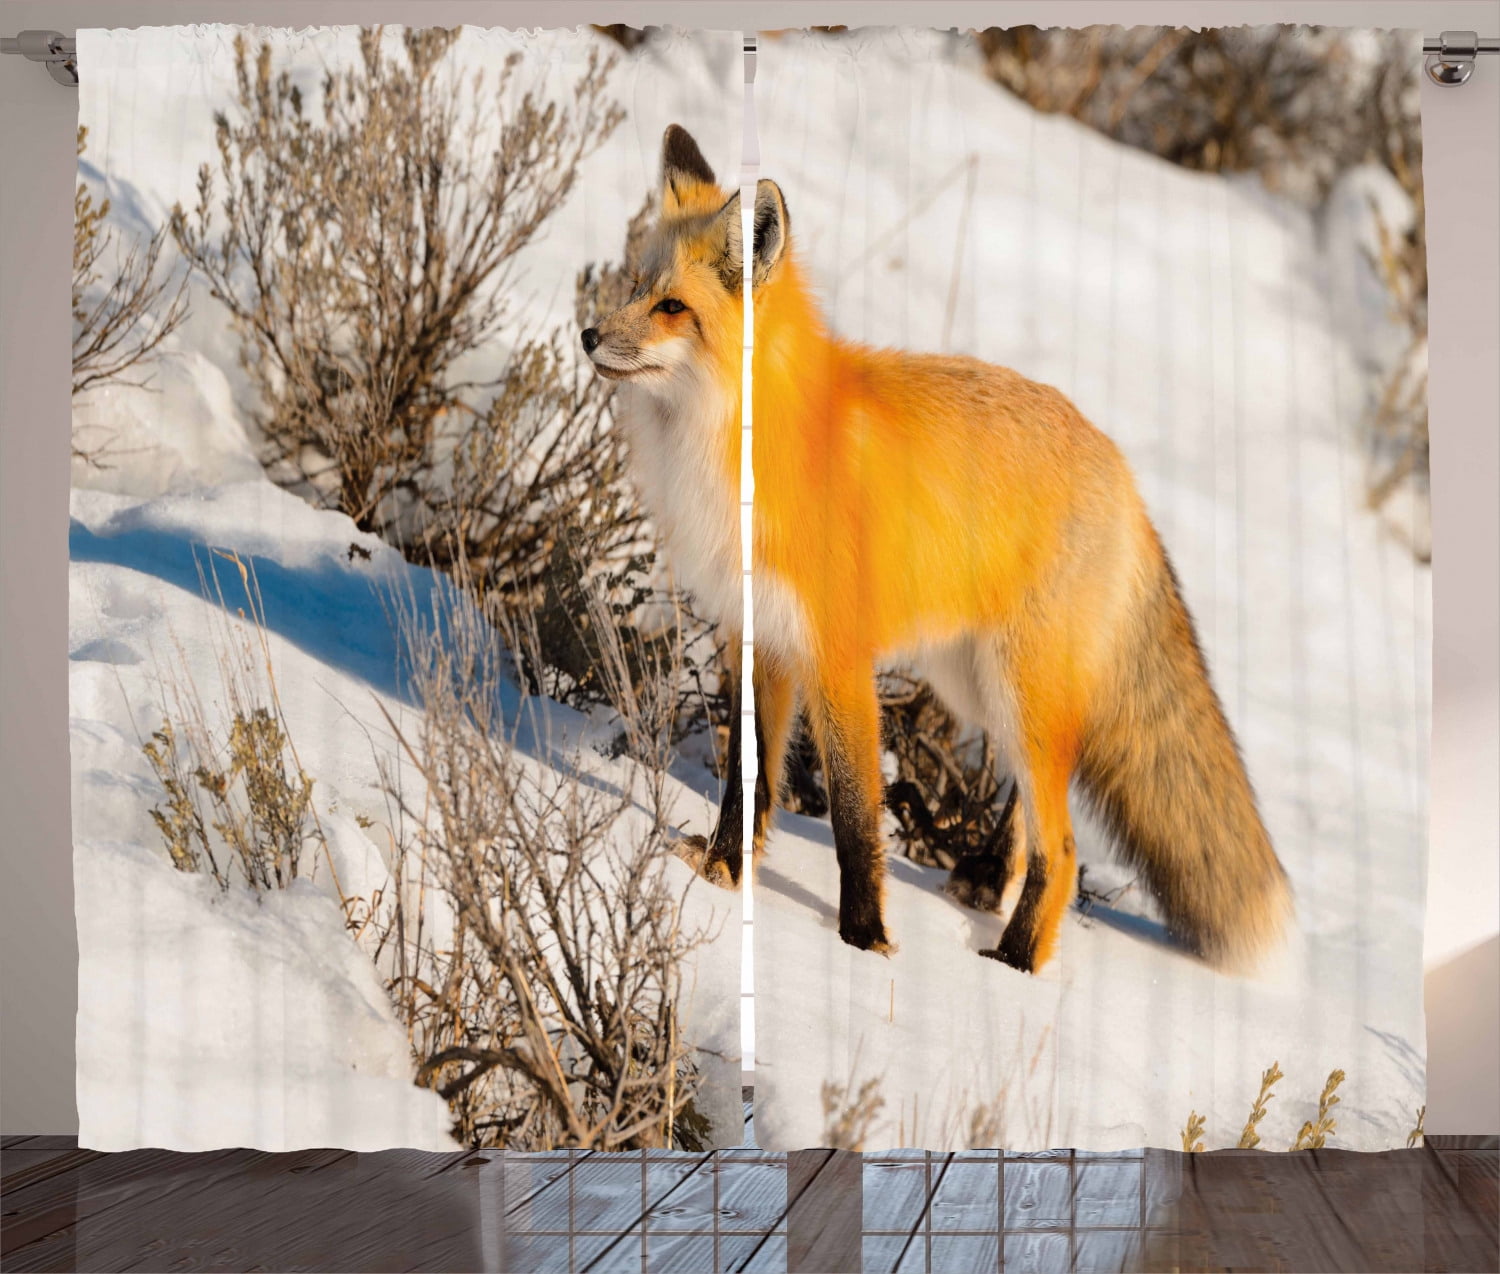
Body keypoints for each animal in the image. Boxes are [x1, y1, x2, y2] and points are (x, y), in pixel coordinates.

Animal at [583, 125, 1292, 975]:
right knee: (1035, 815)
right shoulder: (756, 635)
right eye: (632, 284)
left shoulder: (839, 658)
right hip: (976, 686)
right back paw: (987, 879)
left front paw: (864, 941)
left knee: (1066, 848)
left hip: (1018, 688)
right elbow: (745, 780)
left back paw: (1014, 962)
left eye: (672, 308)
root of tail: (1125, 476)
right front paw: (723, 871)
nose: (587, 334)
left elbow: (856, 820)